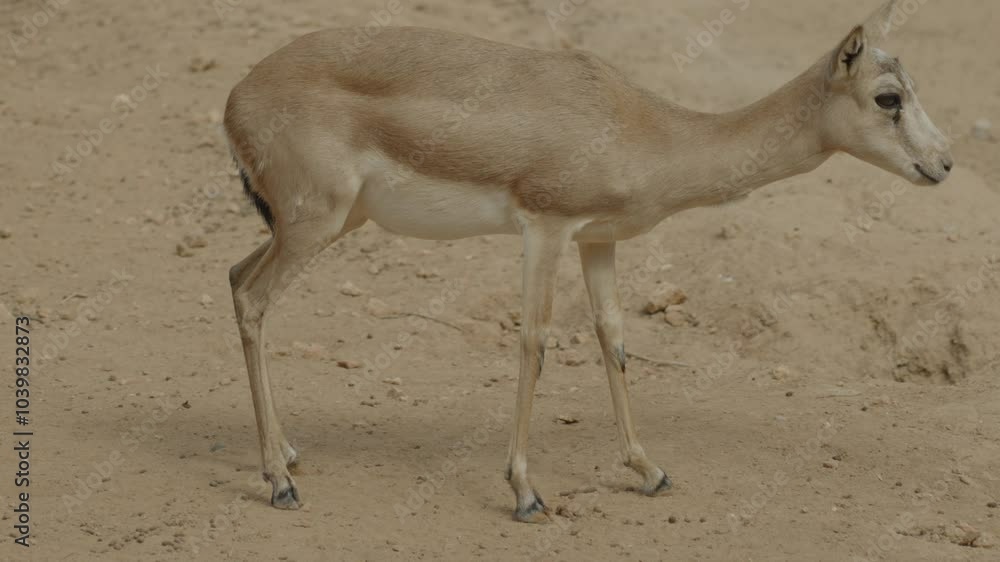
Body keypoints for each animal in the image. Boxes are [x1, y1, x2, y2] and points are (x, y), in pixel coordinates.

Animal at [224, 0, 952, 522]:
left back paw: (287, 454)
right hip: (317, 222)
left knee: (235, 277)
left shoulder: (597, 240)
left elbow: (614, 340)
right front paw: (525, 492)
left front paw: (649, 471)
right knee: (254, 297)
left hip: (332, 221)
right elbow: (534, 342)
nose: (943, 164)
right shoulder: (546, 227)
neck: (645, 127)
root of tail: (238, 95)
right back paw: (278, 482)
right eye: (888, 97)